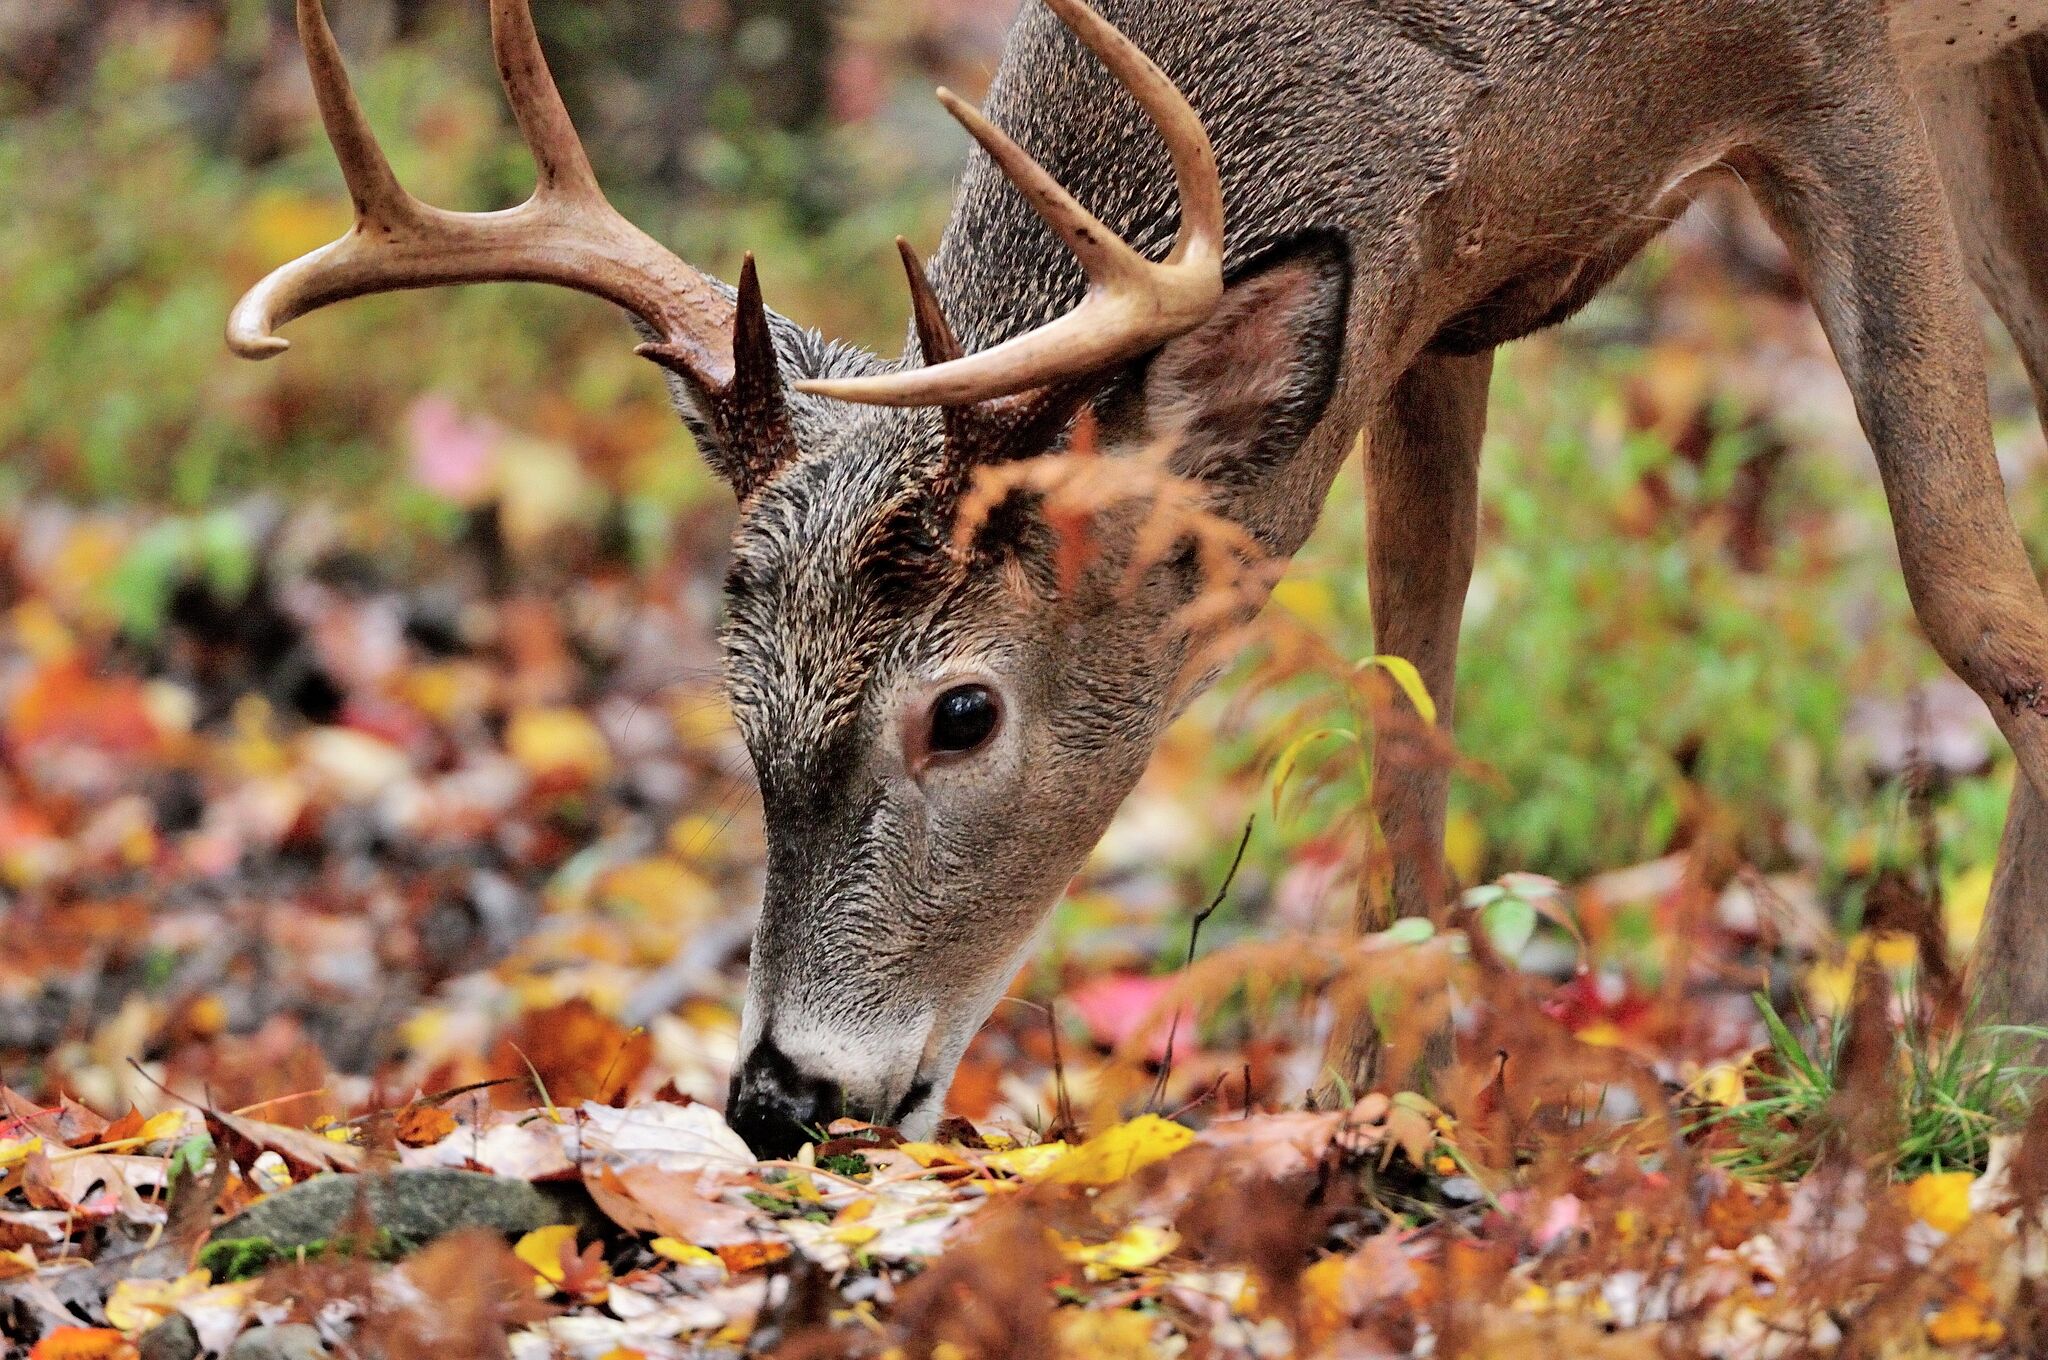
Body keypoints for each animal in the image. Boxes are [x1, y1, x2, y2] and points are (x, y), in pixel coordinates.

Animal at [230, 0, 2048, 1157]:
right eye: (734, 701)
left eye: (961, 713)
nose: (776, 1100)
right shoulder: (1433, 299)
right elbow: (1409, 682)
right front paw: (1387, 1090)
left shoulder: (1837, 71)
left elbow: (1974, 602)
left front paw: (1987, 1080)